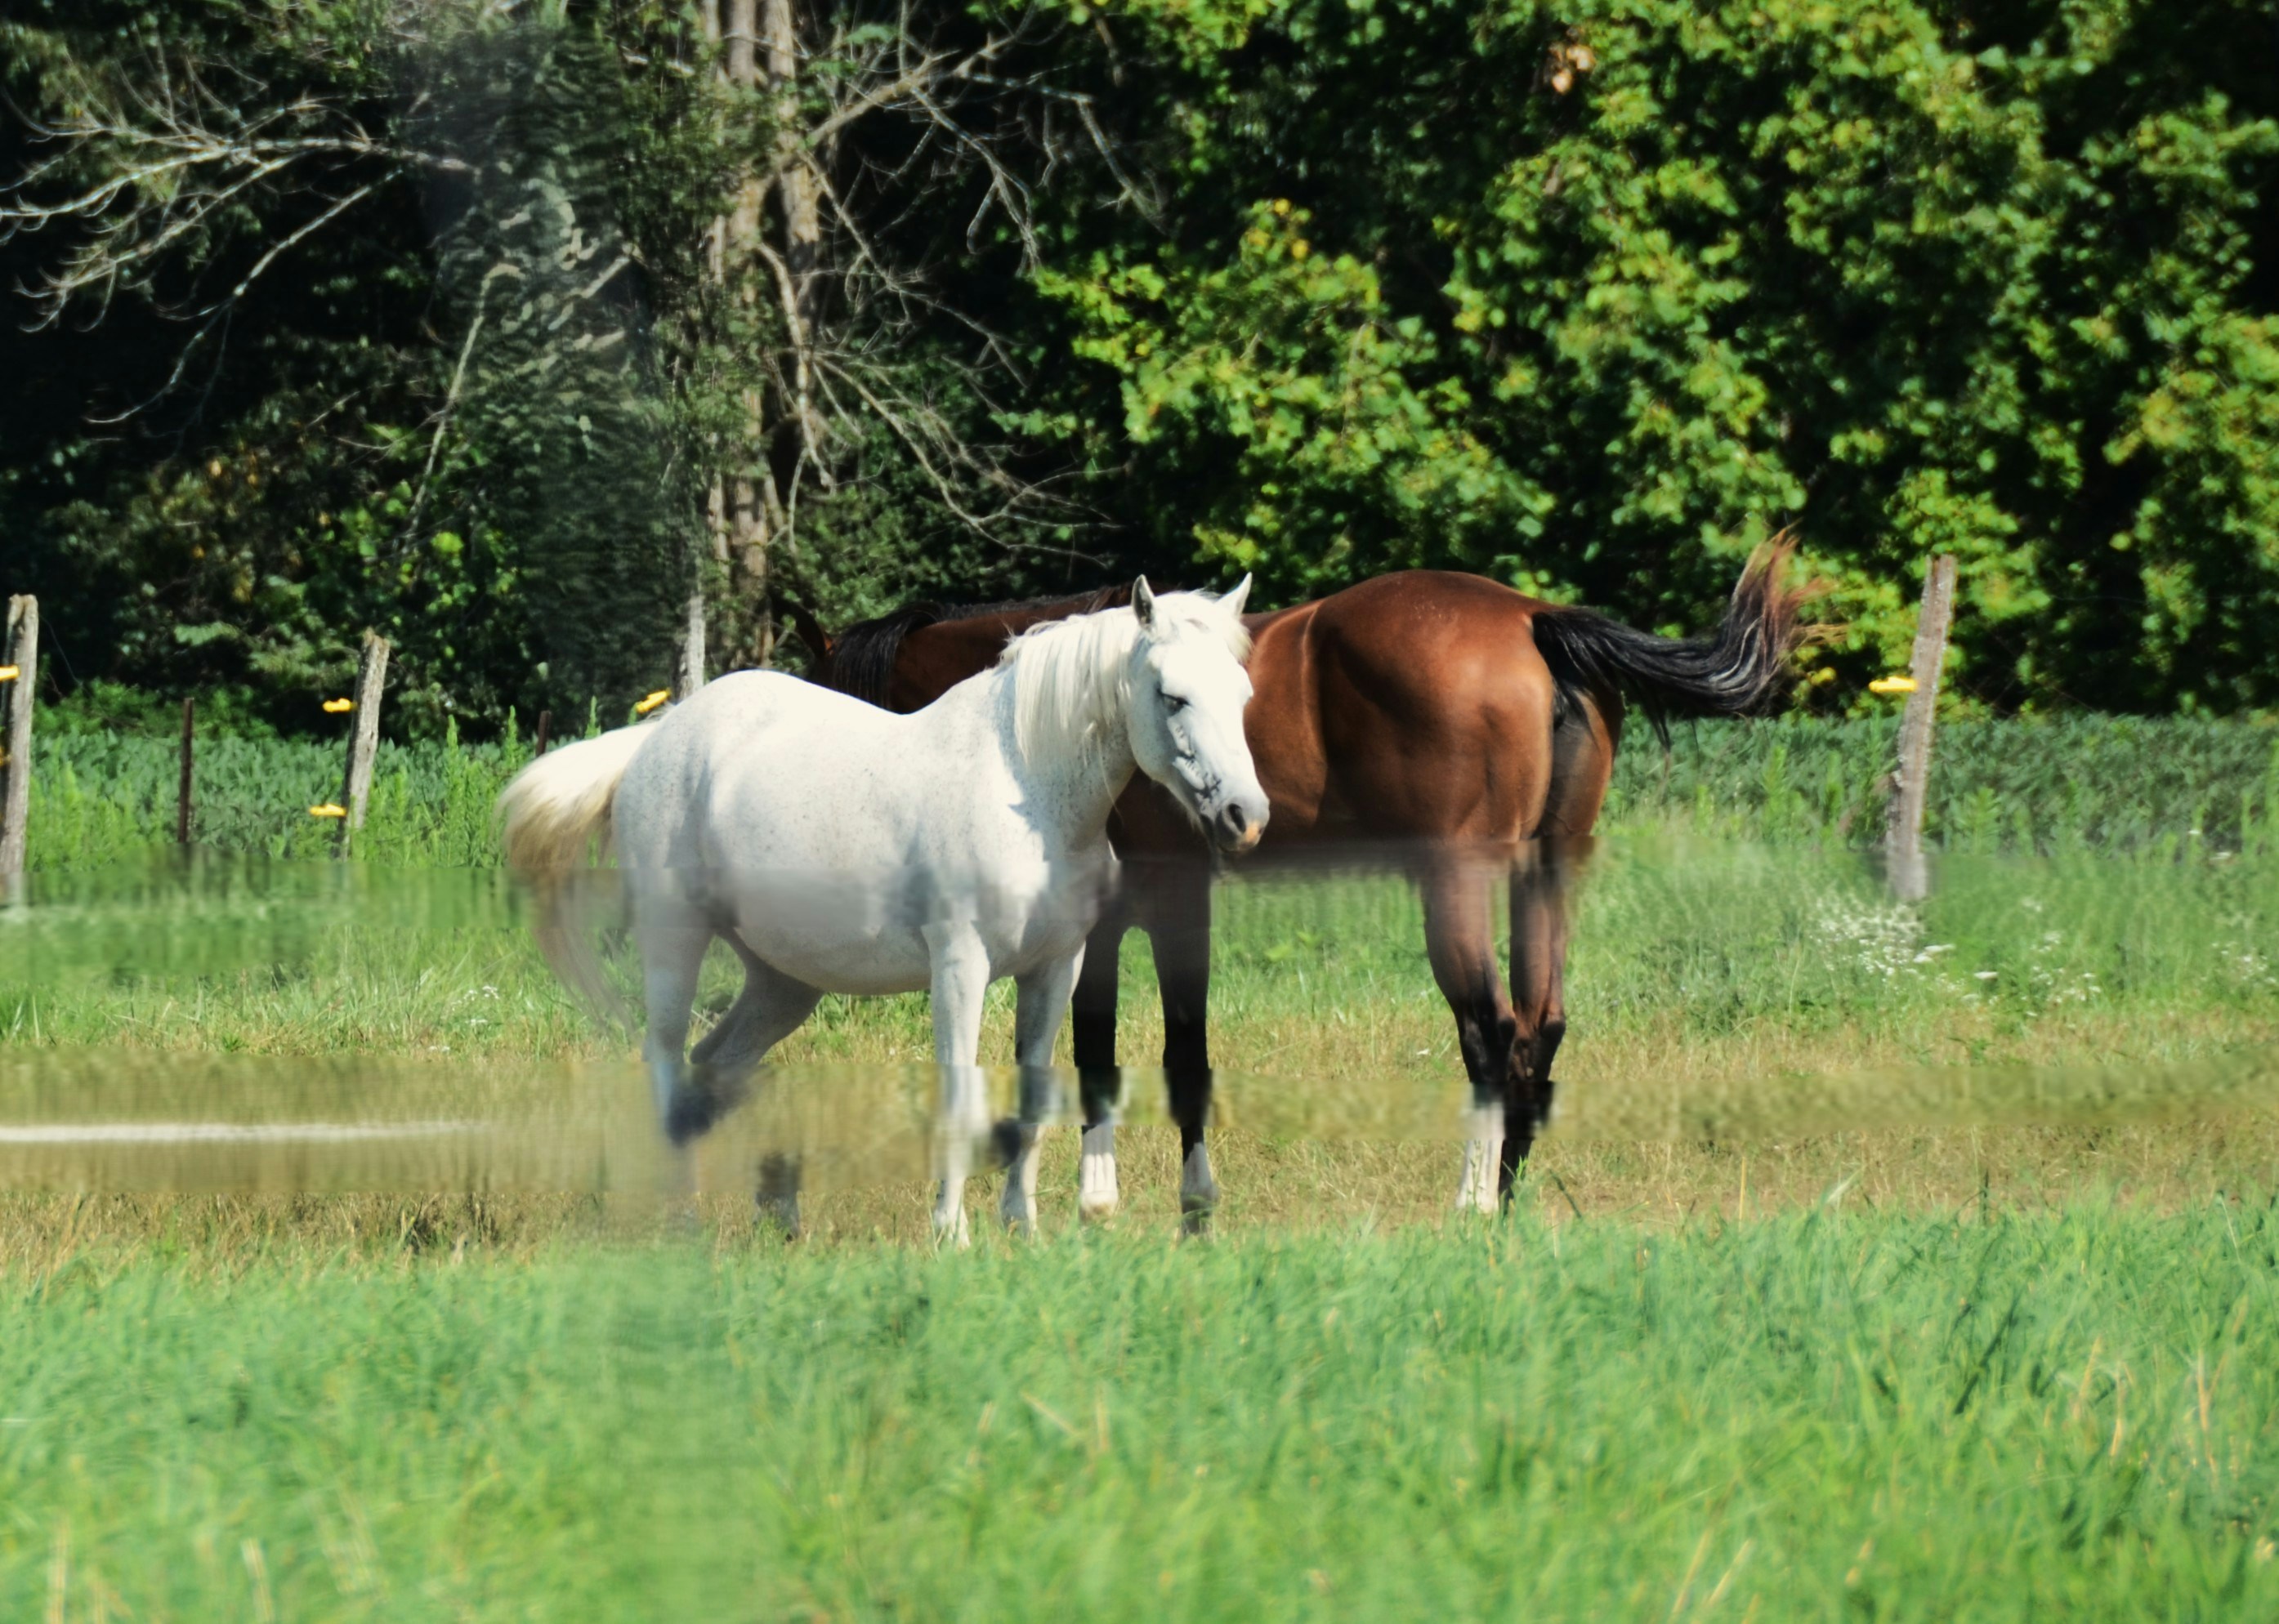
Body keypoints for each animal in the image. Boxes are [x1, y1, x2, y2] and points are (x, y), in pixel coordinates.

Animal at [499, 578, 1268, 1242]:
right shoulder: (959, 966)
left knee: (716, 1062)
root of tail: (653, 743)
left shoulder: (1056, 969)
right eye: (1172, 697)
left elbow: (1032, 1097)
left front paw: (1020, 1230)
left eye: (1242, 694)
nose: (1245, 816)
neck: (1022, 785)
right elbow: (959, 1097)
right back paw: (683, 1223)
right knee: (663, 1063)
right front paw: (951, 1234)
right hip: (673, 944)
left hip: (783, 982)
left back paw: (779, 1215)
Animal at [807, 546, 1807, 1224]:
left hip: (1453, 884)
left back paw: (1471, 1201)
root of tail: (1532, 619)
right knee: (1540, 1028)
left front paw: (1140, 1204)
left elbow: (1144, 1050)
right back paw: (1508, 1199)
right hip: (1544, 878)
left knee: (1489, 1030)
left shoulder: (1145, 909)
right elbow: (1125, 1053)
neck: (1073, 714)